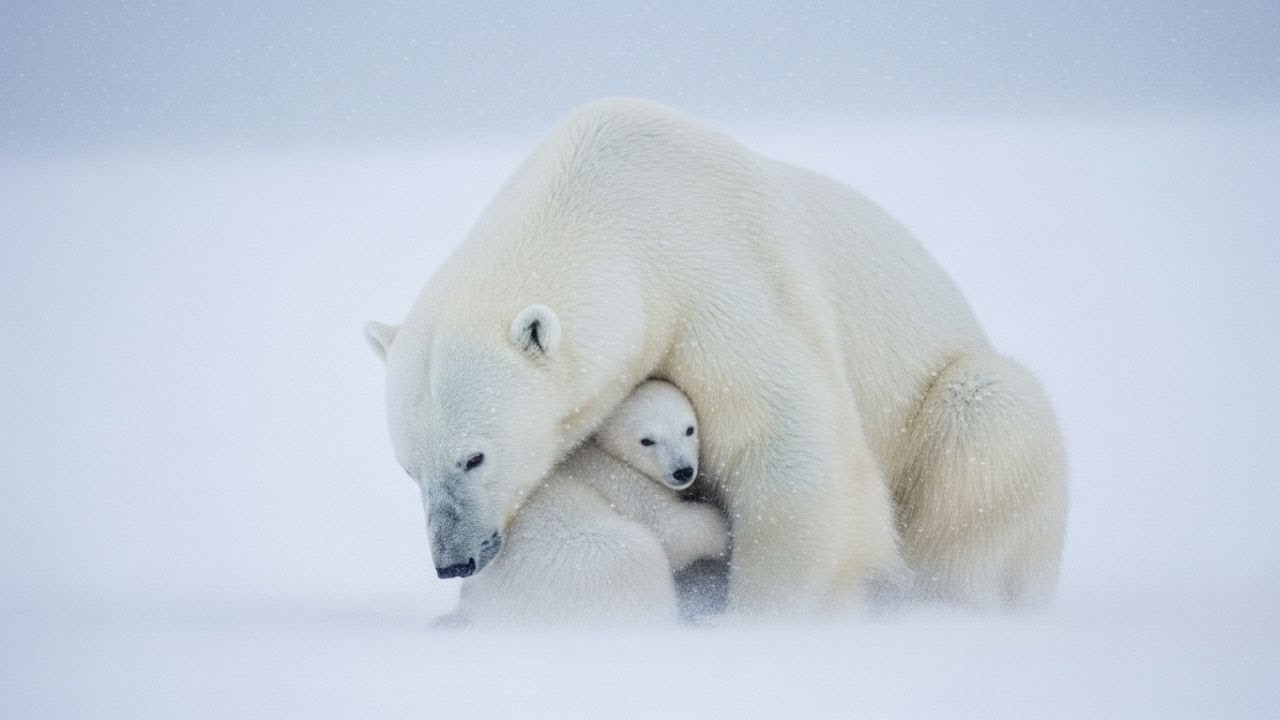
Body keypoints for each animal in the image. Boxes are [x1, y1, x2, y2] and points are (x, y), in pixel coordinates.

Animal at [434, 380, 729, 627]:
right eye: (647, 440)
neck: (602, 450)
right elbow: (674, 530)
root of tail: (476, 612)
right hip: (589, 561)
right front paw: (724, 532)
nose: (683, 471)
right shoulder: (622, 482)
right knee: (639, 557)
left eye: (689, 429)